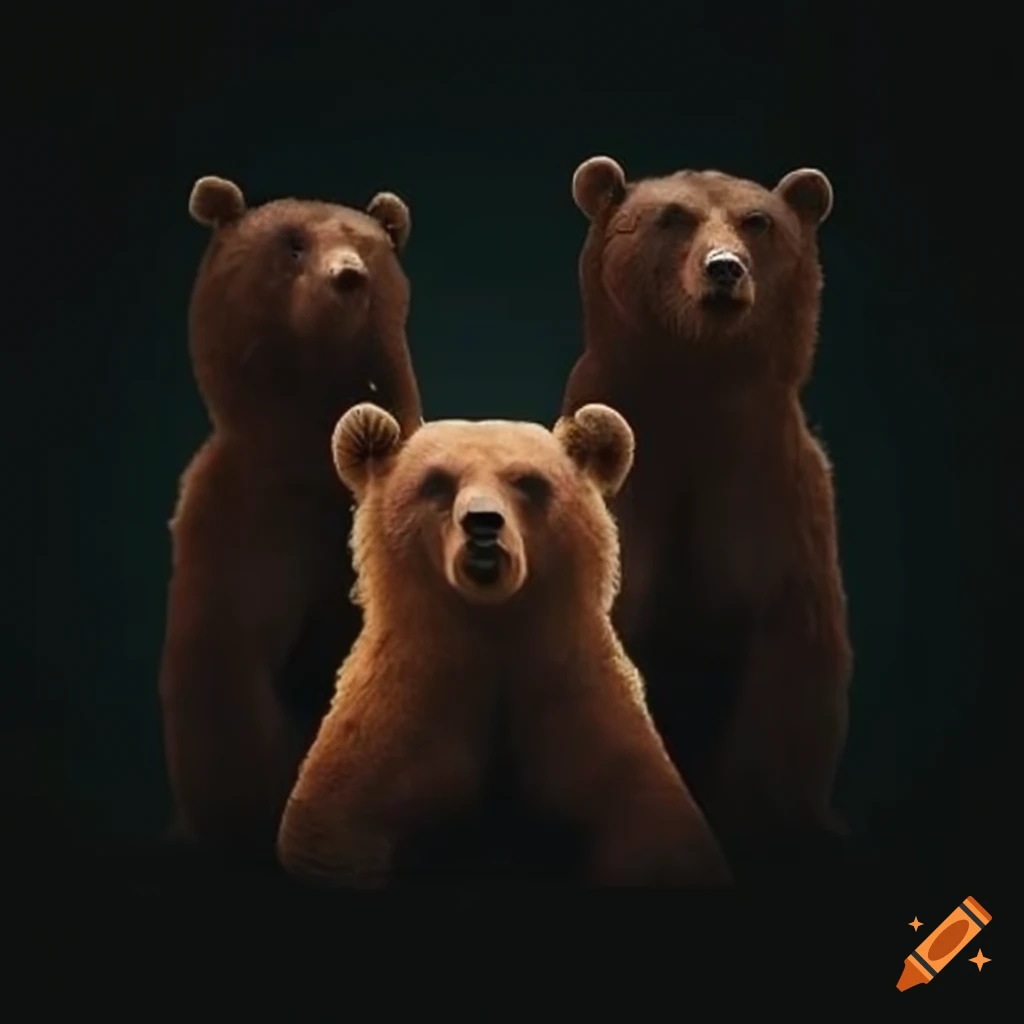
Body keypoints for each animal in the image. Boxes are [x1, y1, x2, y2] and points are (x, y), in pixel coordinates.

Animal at [275, 401, 730, 887]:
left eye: (528, 481)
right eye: (436, 482)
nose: (482, 523)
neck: (493, 627)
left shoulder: (581, 708)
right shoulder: (395, 725)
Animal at [561, 155, 853, 874]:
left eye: (759, 221)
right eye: (672, 217)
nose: (724, 268)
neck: (696, 386)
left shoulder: (770, 505)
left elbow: (787, 675)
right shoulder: (633, 502)